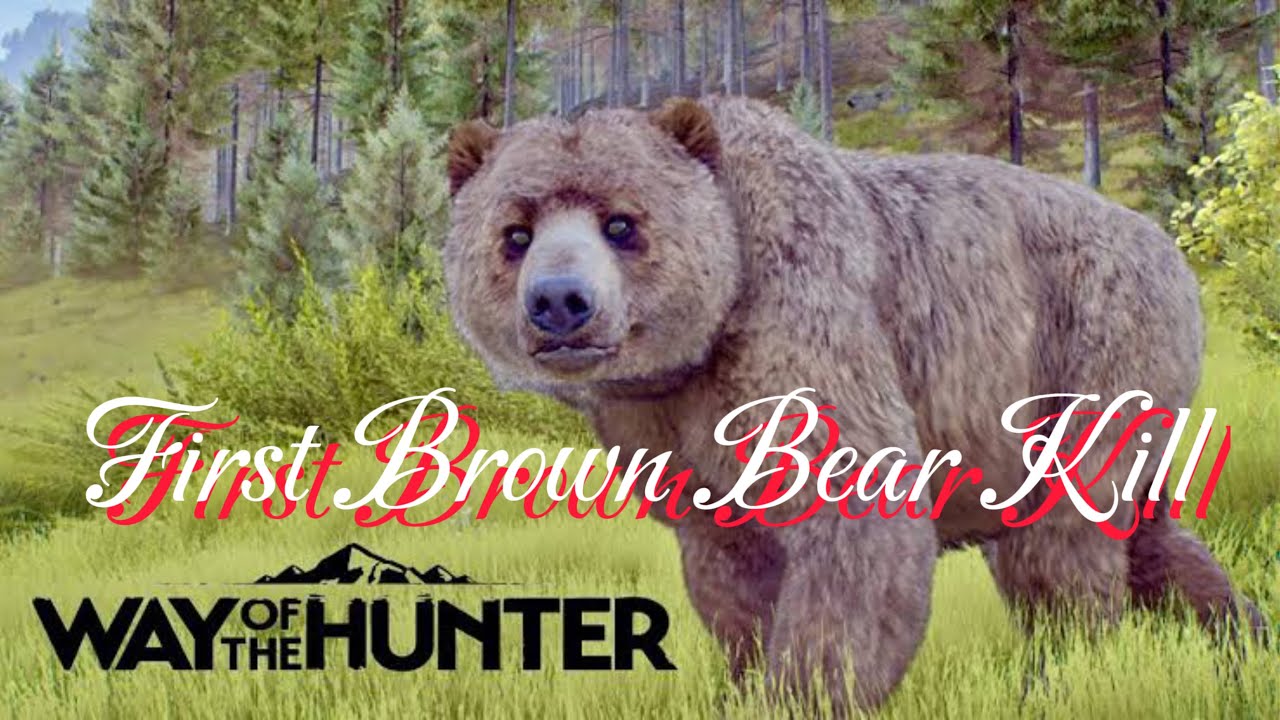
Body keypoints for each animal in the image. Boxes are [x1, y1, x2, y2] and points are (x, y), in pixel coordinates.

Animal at [442, 95, 1264, 712]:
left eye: (621, 221)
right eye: (514, 232)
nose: (560, 301)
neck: (697, 351)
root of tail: (1167, 247)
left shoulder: (800, 319)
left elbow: (857, 512)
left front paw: (800, 693)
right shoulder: (664, 429)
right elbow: (729, 564)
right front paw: (745, 677)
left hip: (1089, 342)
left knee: (1059, 538)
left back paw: (1059, 671)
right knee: (1150, 533)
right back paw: (1238, 634)